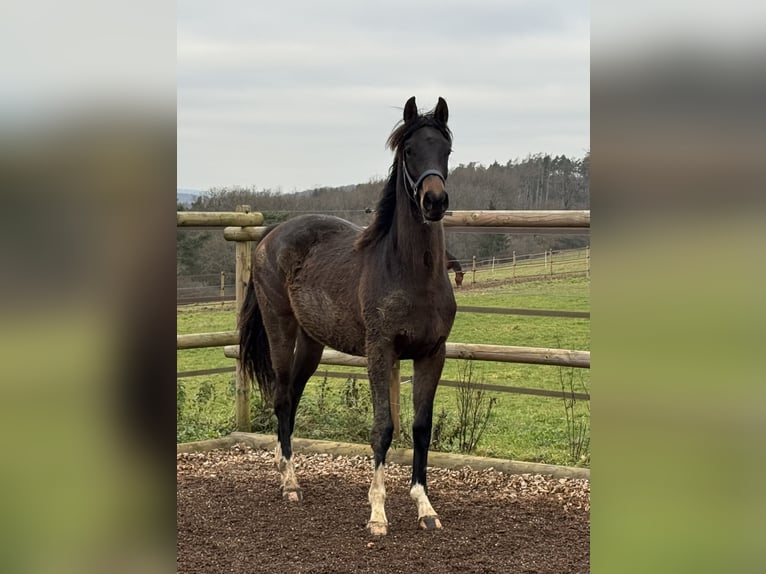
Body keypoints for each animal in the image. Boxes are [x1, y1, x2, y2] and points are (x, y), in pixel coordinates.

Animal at [239, 96, 456, 536]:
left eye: (446, 149)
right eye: (409, 151)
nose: (434, 202)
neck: (413, 273)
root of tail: (269, 236)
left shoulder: (432, 354)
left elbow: (420, 429)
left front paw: (425, 507)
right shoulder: (380, 352)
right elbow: (383, 428)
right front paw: (377, 514)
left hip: (311, 344)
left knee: (292, 399)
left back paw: (284, 465)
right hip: (280, 331)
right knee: (282, 398)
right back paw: (290, 483)